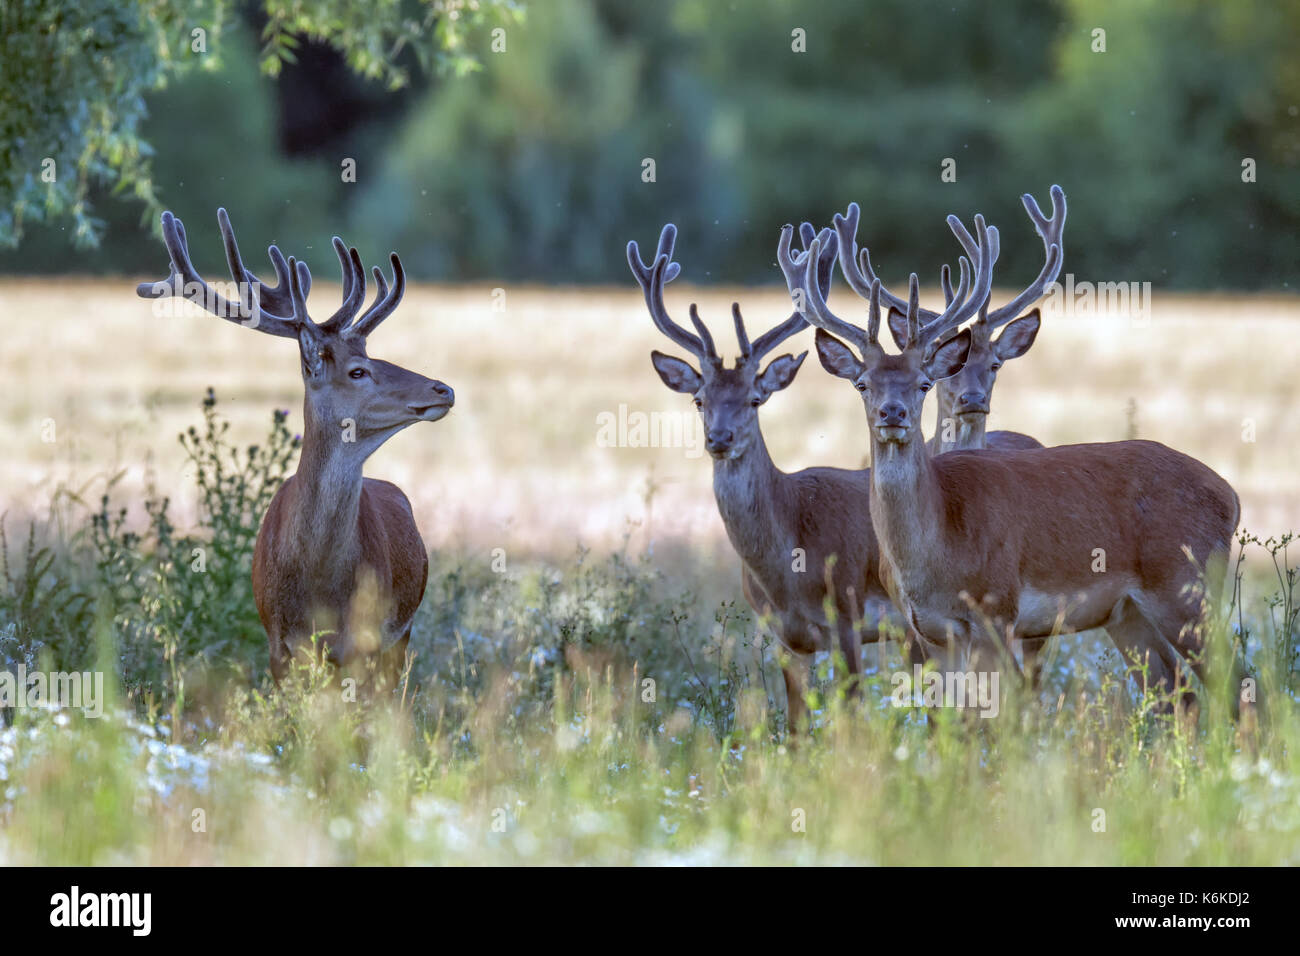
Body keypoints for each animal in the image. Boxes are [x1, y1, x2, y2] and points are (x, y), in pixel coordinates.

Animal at [137, 209, 454, 688]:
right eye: (358, 370)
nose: (443, 389)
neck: (320, 583)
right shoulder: (277, 642)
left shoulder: (366, 641)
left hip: (402, 632)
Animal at [628, 220, 989, 731]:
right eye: (699, 399)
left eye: (755, 399)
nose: (719, 438)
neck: (787, 567)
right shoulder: (784, 635)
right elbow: (797, 723)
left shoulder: (848, 612)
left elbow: (852, 708)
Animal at [788, 210, 1241, 718]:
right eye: (862, 384)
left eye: (924, 383)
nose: (893, 413)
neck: (939, 540)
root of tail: (1230, 495)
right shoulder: (930, 630)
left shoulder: (997, 608)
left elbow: (993, 717)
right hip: (1129, 612)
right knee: (1178, 692)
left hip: (1187, 587)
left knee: (1238, 686)